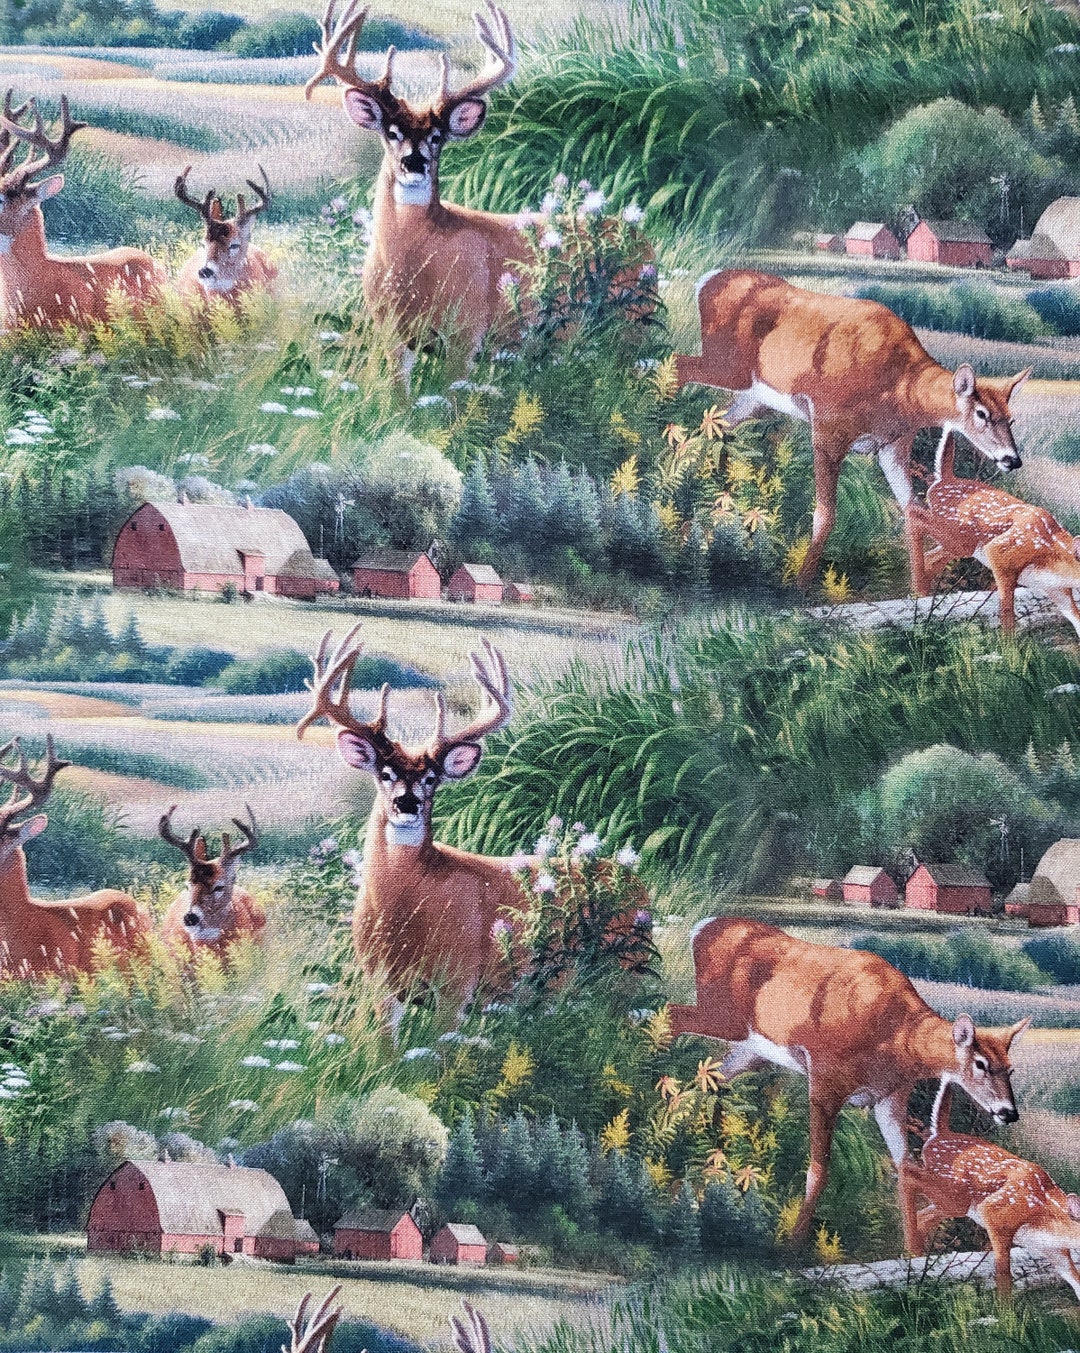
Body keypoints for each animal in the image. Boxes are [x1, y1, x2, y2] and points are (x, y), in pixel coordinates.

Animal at [667, 914, 1030, 1248]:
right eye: (981, 1064)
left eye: (1010, 1069)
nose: (1008, 1112)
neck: (897, 1037)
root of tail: (700, 927)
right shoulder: (825, 1080)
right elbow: (819, 1169)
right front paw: (794, 1242)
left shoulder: (889, 1098)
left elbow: (906, 1169)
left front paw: (914, 1251)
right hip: (723, 1015)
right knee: (671, 1014)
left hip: (748, 1050)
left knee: (700, 1081)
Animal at [674, 268, 1030, 591]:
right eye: (982, 414)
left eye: (1011, 418)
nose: (1012, 459)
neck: (900, 389)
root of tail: (705, 280)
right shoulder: (828, 427)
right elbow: (825, 514)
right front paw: (799, 586)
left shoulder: (892, 447)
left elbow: (912, 511)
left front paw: (920, 590)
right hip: (727, 365)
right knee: (677, 363)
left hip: (752, 397)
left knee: (708, 426)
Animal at [900, 1078, 1080, 1301]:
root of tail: (939, 1135)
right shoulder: (996, 1214)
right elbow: (1004, 1276)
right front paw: (1005, 1310)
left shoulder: (1054, 1251)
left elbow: (1075, 1280)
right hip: (956, 1197)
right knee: (906, 1171)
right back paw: (911, 1254)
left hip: (952, 1203)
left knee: (924, 1214)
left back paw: (915, 1256)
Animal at [906, 432, 1080, 639]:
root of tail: (943, 480)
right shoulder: (1001, 553)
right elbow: (1006, 613)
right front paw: (1009, 647)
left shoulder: (1057, 589)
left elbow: (1076, 617)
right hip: (960, 537)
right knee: (913, 513)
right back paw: (916, 594)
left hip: (957, 544)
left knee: (931, 556)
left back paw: (921, 596)